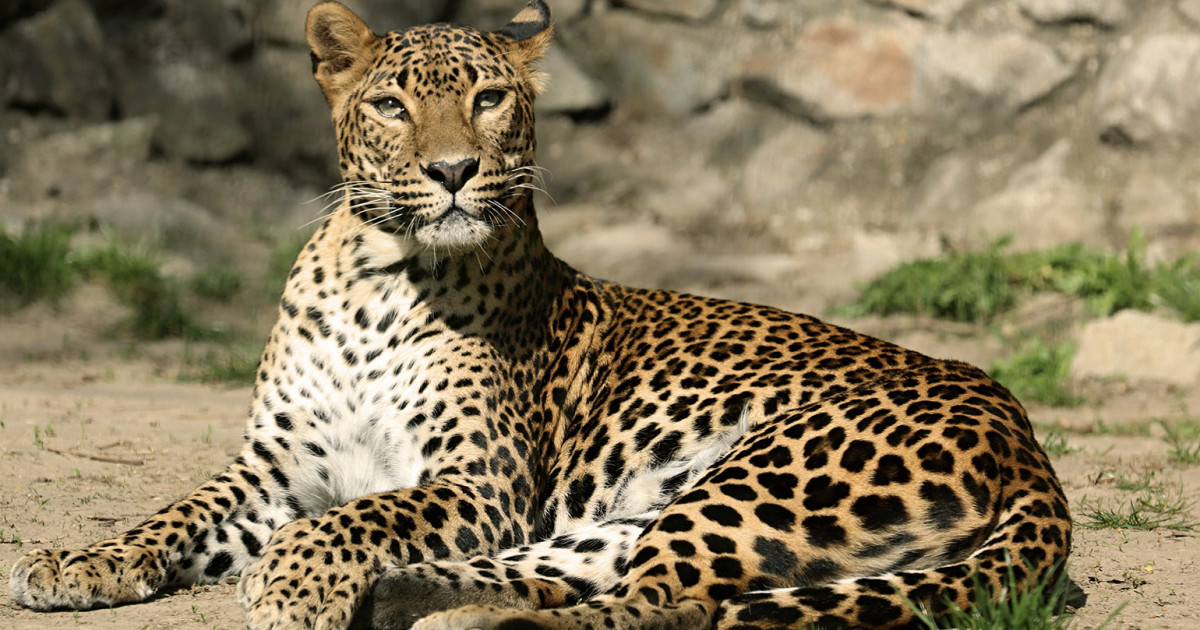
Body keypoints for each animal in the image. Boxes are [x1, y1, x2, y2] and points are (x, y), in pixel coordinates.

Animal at [9, 1, 1072, 629]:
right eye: (391, 106)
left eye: (489, 99)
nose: (452, 170)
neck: (375, 279)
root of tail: (1022, 432)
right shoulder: (272, 465)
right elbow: (172, 512)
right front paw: (75, 561)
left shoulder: (475, 482)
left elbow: (354, 515)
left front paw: (292, 585)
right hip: (649, 507)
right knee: (587, 572)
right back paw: (420, 602)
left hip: (769, 471)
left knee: (661, 604)